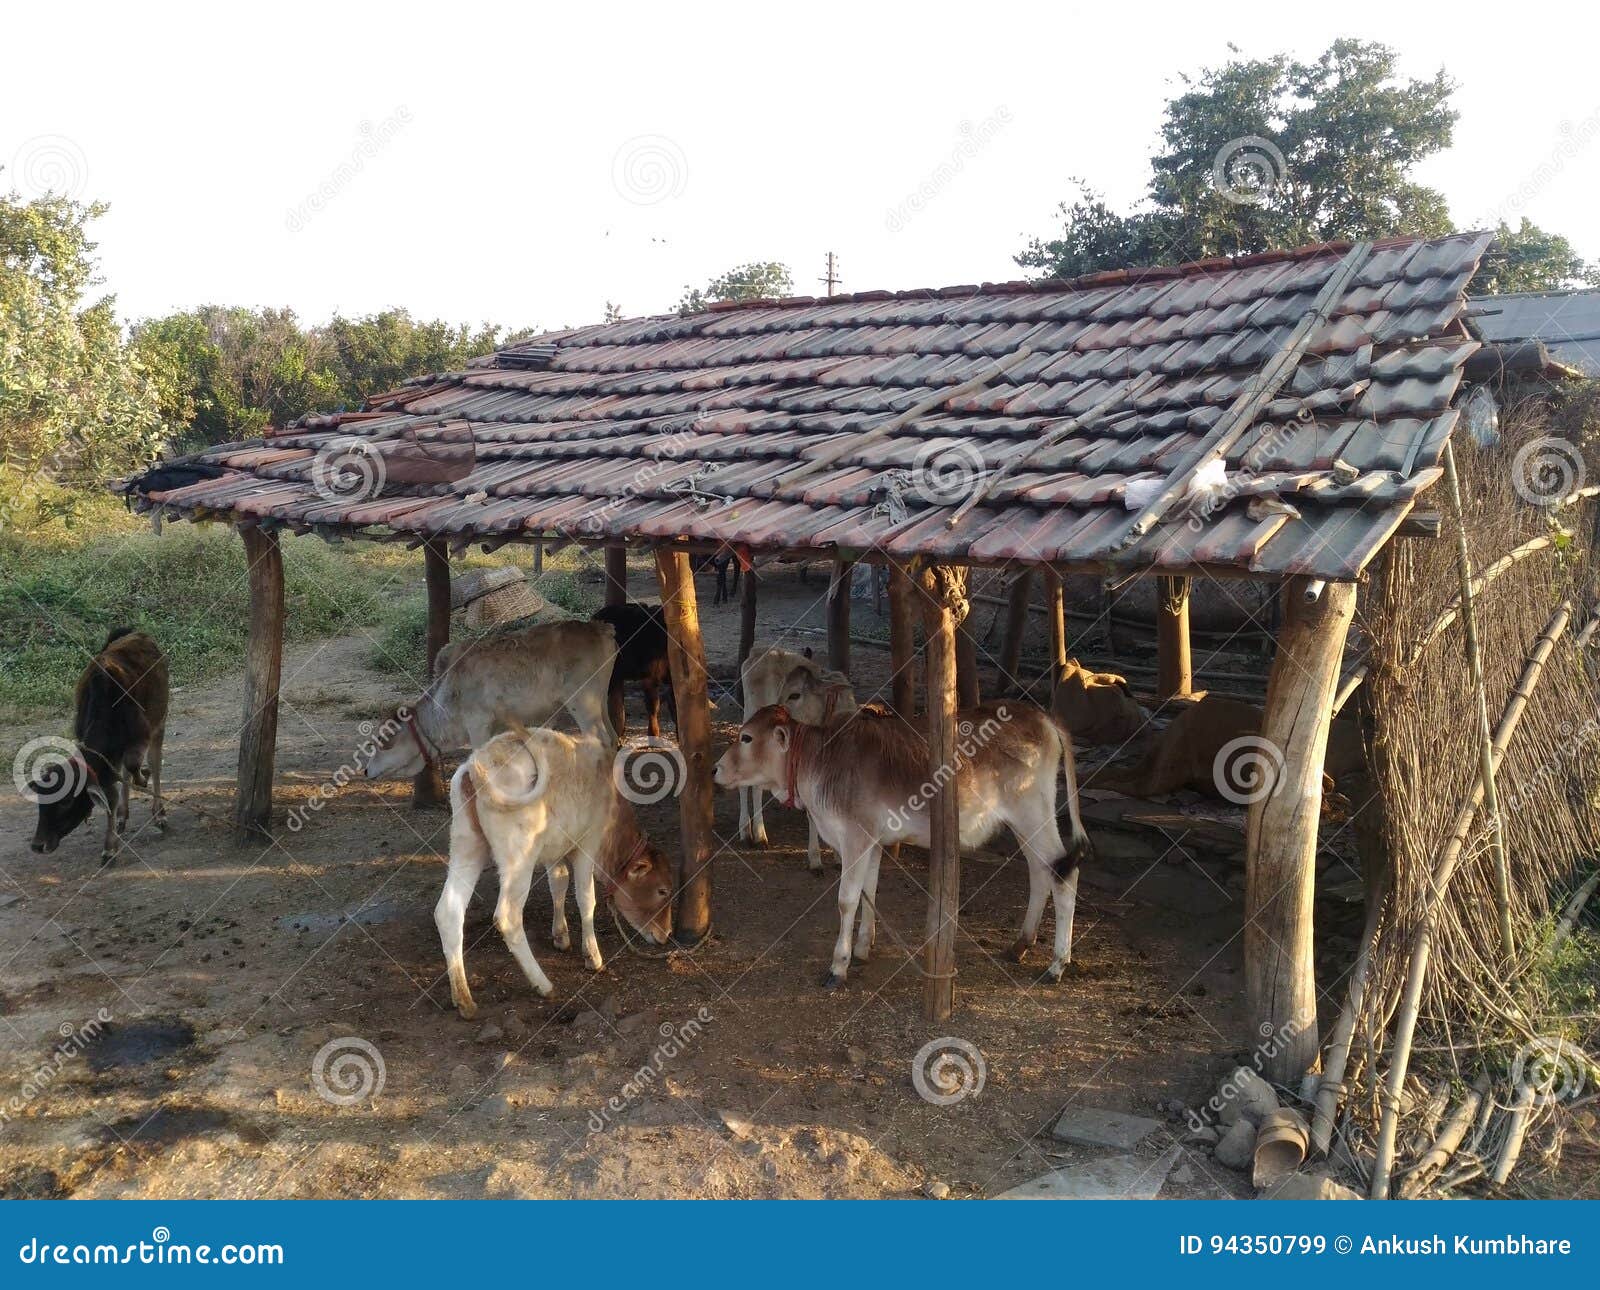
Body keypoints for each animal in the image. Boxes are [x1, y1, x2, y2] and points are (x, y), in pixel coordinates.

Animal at [28, 628, 169, 864]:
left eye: (66, 801)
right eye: (40, 801)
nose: (38, 845)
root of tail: (137, 634)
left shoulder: (140, 736)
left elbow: (134, 767)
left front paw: (144, 778)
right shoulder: (105, 757)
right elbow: (111, 794)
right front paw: (110, 845)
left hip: (160, 721)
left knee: (155, 763)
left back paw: (159, 812)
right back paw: (123, 815)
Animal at [361, 618, 617, 784]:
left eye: (383, 743)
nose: (365, 771)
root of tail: (600, 628)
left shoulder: (478, 723)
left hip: (582, 703)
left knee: (600, 740)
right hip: (601, 702)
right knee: (613, 738)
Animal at [435, 726, 676, 1018]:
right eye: (663, 890)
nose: (667, 934)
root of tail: (476, 763)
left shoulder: (554, 850)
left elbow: (558, 882)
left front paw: (560, 936)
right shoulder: (587, 843)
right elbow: (586, 898)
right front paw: (593, 957)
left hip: (467, 844)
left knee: (448, 911)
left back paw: (464, 999)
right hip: (518, 857)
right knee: (507, 916)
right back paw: (543, 984)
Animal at [714, 700, 1093, 987]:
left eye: (746, 737)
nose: (716, 768)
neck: (821, 761)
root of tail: (1041, 715)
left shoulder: (856, 837)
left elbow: (847, 900)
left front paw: (839, 965)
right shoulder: (873, 840)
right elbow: (869, 890)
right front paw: (863, 948)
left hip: (1033, 814)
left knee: (1064, 874)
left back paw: (1057, 965)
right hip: (1025, 824)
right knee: (1040, 872)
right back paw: (1020, 944)